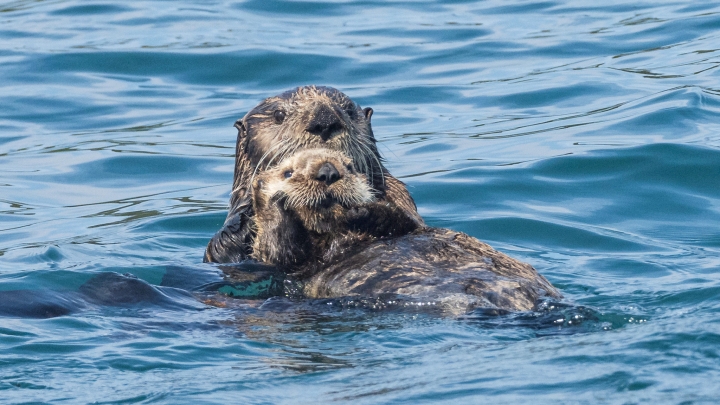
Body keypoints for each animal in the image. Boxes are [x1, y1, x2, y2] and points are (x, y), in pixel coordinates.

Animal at [250, 149, 561, 313]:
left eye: (348, 166)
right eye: (288, 173)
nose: (328, 172)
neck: (338, 237)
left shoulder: (403, 224)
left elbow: (399, 220)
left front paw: (361, 212)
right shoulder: (286, 265)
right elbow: (280, 250)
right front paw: (275, 200)